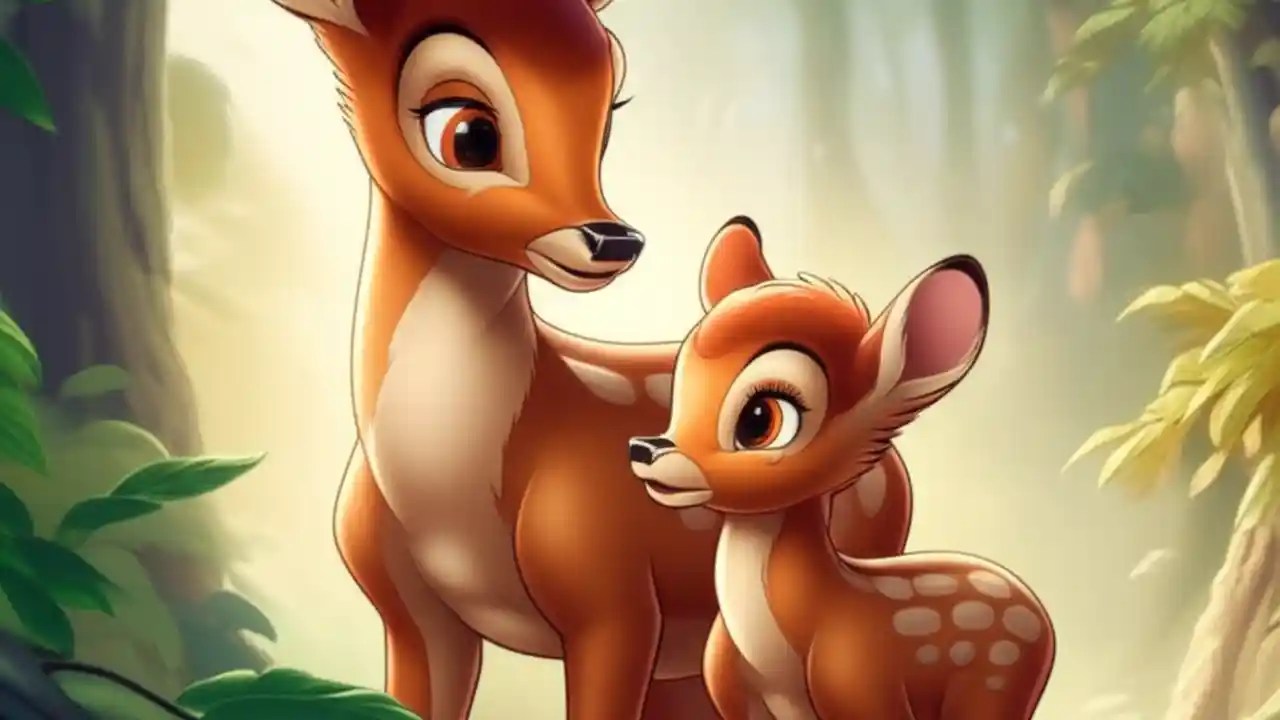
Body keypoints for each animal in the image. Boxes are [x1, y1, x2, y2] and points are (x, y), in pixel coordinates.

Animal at [269, 2, 917, 718]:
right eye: (467, 132)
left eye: (610, 108)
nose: (613, 239)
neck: (451, 503)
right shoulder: (410, 615)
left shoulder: (615, 604)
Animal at [629, 247, 1056, 719]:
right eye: (680, 381)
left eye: (760, 419)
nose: (645, 449)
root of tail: (1039, 610)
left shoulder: (864, 683)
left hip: (993, 690)